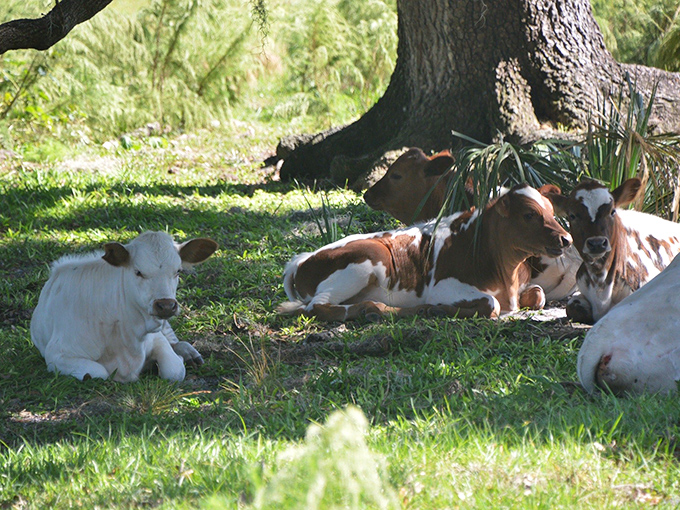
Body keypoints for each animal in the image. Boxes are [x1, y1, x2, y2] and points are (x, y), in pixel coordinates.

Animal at [30, 231, 218, 382]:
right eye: (138, 272)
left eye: (178, 271)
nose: (166, 306)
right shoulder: (58, 354)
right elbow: (97, 372)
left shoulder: (156, 336)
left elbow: (174, 370)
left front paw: (177, 358)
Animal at [278, 183, 572, 321]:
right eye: (529, 215)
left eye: (551, 211)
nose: (567, 239)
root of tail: (302, 259)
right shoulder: (442, 287)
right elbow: (492, 304)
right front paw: (440, 308)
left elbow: (538, 294)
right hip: (366, 260)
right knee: (317, 306)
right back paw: (371, 309)